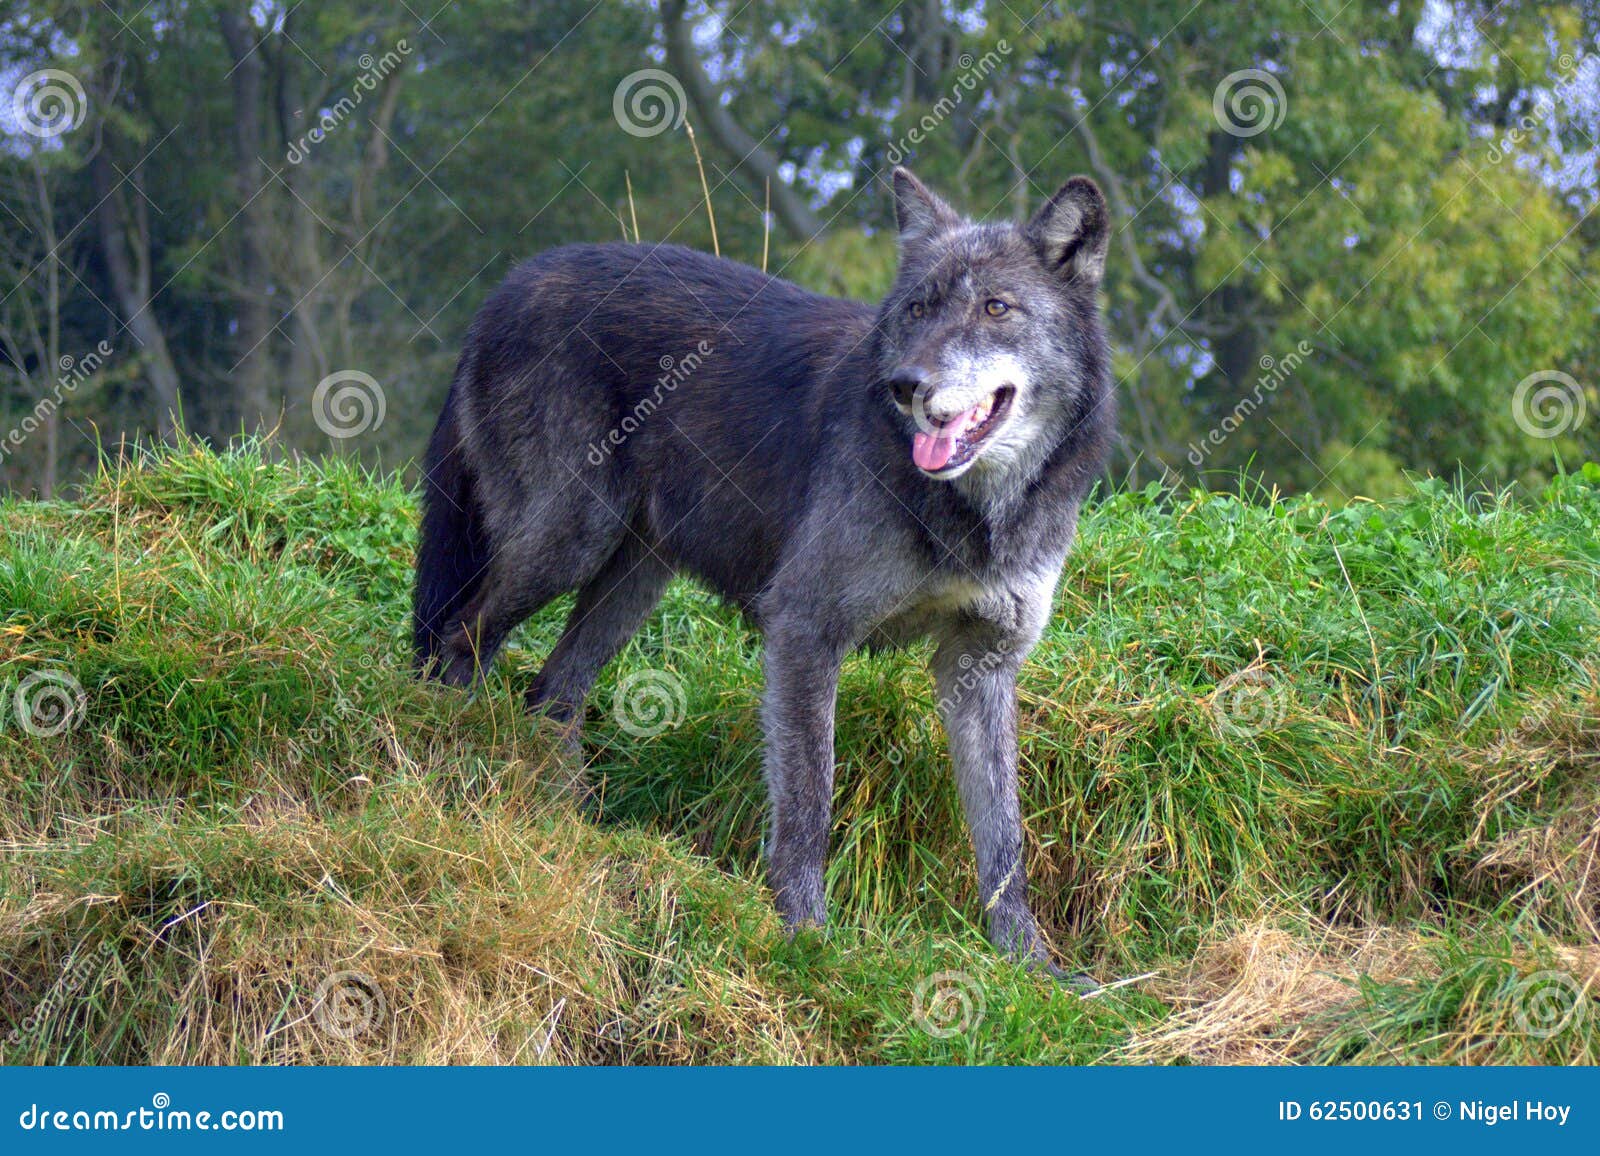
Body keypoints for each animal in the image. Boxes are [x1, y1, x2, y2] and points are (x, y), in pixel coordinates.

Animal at [414, 168, 1114, 976]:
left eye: (996, 307)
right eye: (917, 308)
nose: (905, 384)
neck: (975, 512)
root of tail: (508, 285)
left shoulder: (982, 663)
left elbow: (1004, 836)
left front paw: (1030, 966)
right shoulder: (806, 628)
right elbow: (810, 798)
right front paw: (806, 938)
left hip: (634, 579)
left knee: (552, 692)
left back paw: (567, 825)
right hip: (568, 543)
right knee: (459, 637)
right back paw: (452, 769)